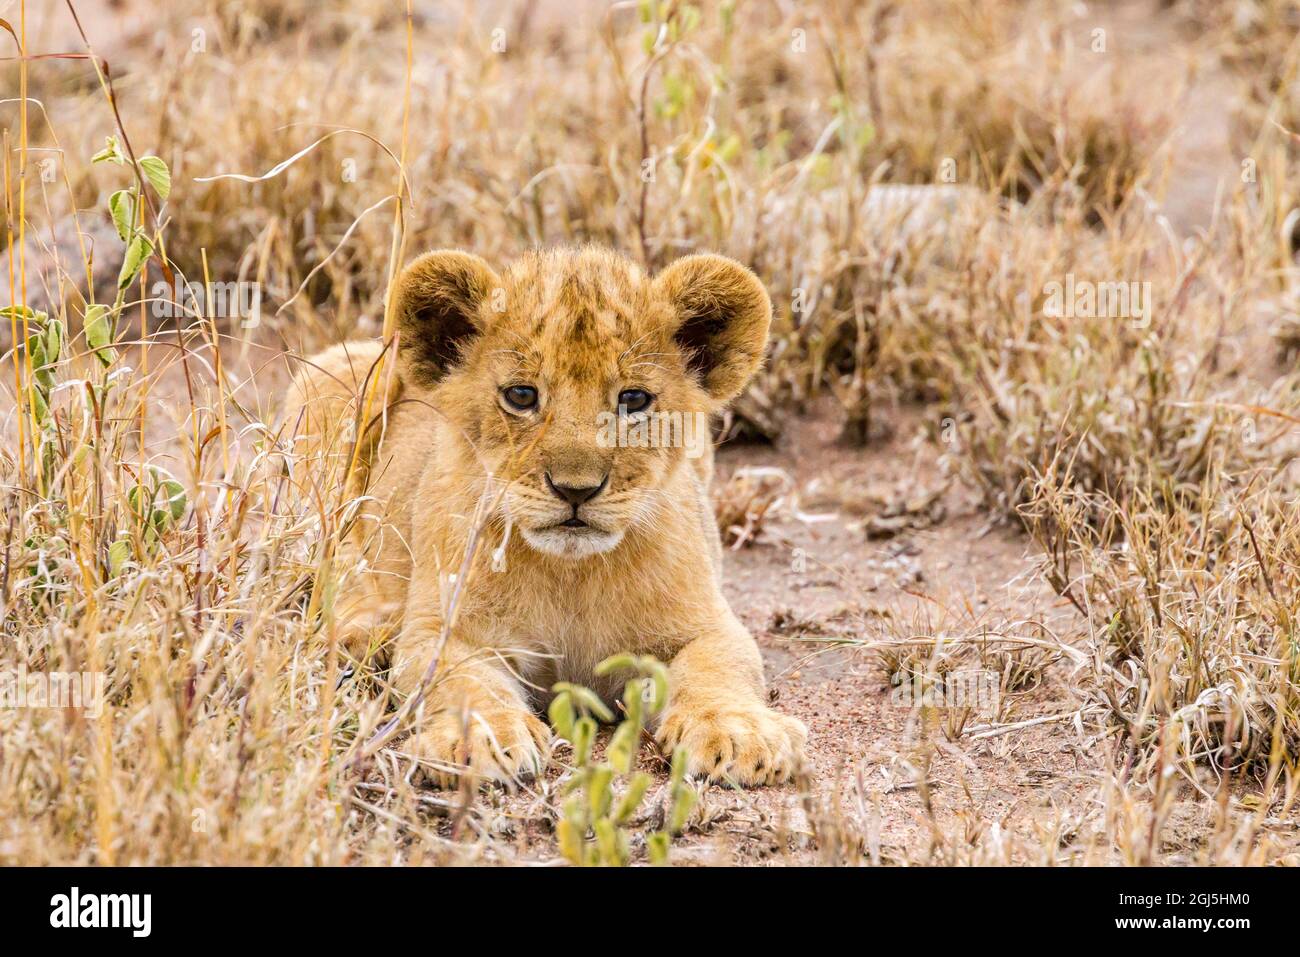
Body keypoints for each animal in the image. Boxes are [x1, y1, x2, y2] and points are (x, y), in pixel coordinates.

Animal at [286, 246, 808, 787]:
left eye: (634, 400)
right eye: (521, 396)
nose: (576, 489)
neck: (570, 575)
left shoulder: (708, 623)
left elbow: (720, 666)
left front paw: (738, 733)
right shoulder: (446, 631)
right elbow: (464, 683)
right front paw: (485, 738)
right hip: (333, 385)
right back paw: (368, 632)